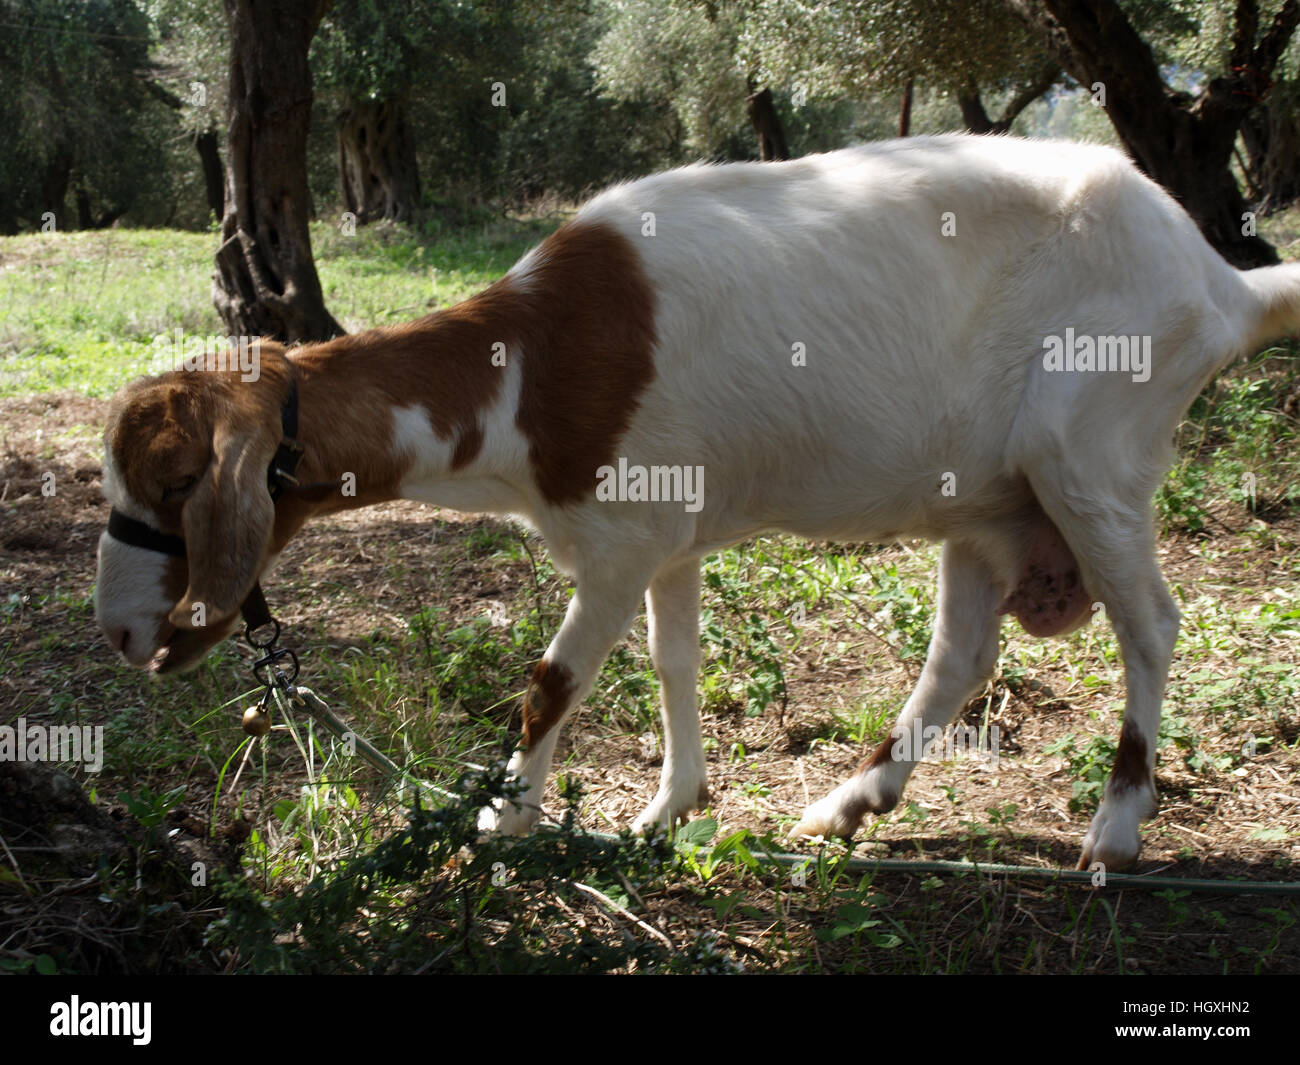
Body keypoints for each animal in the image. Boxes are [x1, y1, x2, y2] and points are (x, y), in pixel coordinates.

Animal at [95, 134, 1300, 870]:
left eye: (176, 480)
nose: (116, 631)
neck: (530, 364)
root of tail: (1222, 284)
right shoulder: (670, 535)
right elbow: (676, 658)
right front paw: (671, 808)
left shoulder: (621, 541)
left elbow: (550, 683)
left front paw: (499, 819)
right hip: (984, 501)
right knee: (964, 652)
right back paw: (848, 803)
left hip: (1090, 449)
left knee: (1150, 623)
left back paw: (1116, 826)